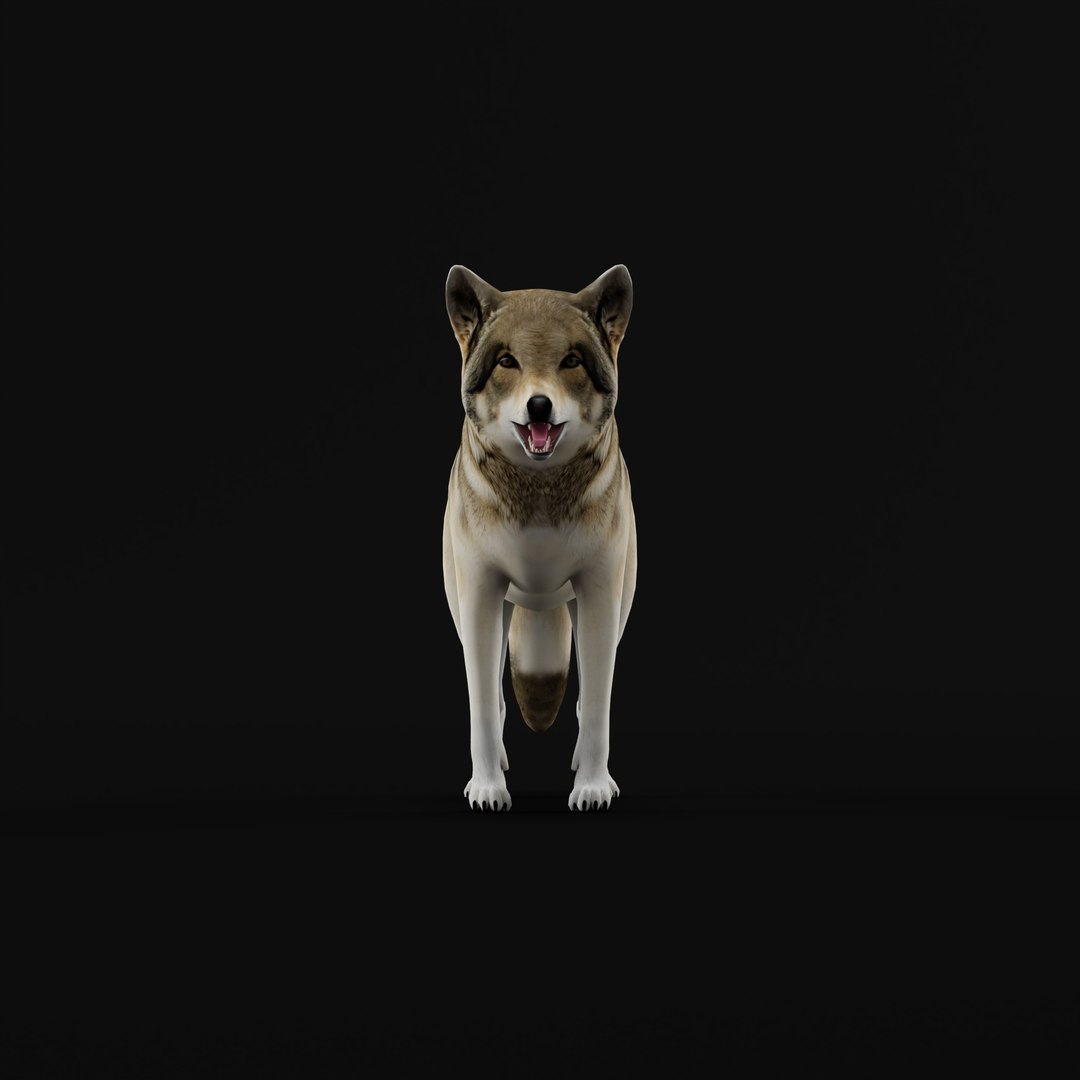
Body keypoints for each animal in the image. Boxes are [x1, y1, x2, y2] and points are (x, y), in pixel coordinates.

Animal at [442, 264, 637, 811]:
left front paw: (592, 786)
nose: (539, 406)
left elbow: (598, 704)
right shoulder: (480, 595)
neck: (539, 490)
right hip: (474, 609)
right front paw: (488, 787)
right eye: (507, 361)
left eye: (571, 360)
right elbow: (483, 706)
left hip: (613, 607)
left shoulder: (599, 593)